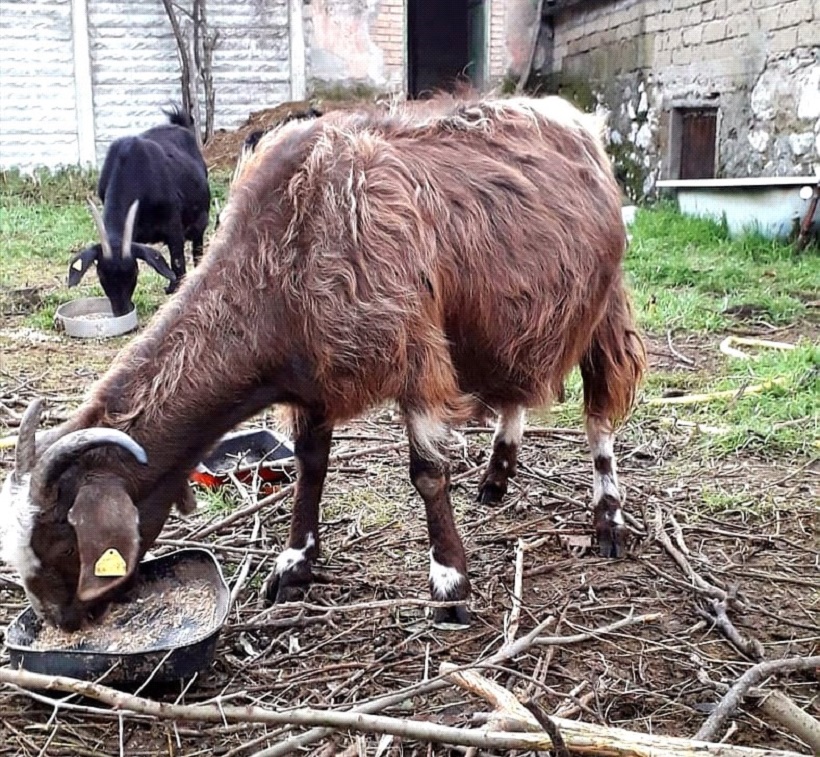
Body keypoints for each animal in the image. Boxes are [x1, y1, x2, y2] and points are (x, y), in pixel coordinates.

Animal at [68, 105, 211, 317]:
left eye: (133, 272)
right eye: (101, 274)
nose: (122, 312)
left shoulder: (173, 228)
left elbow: (178, 263)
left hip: (200, 223)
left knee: (197, 251)